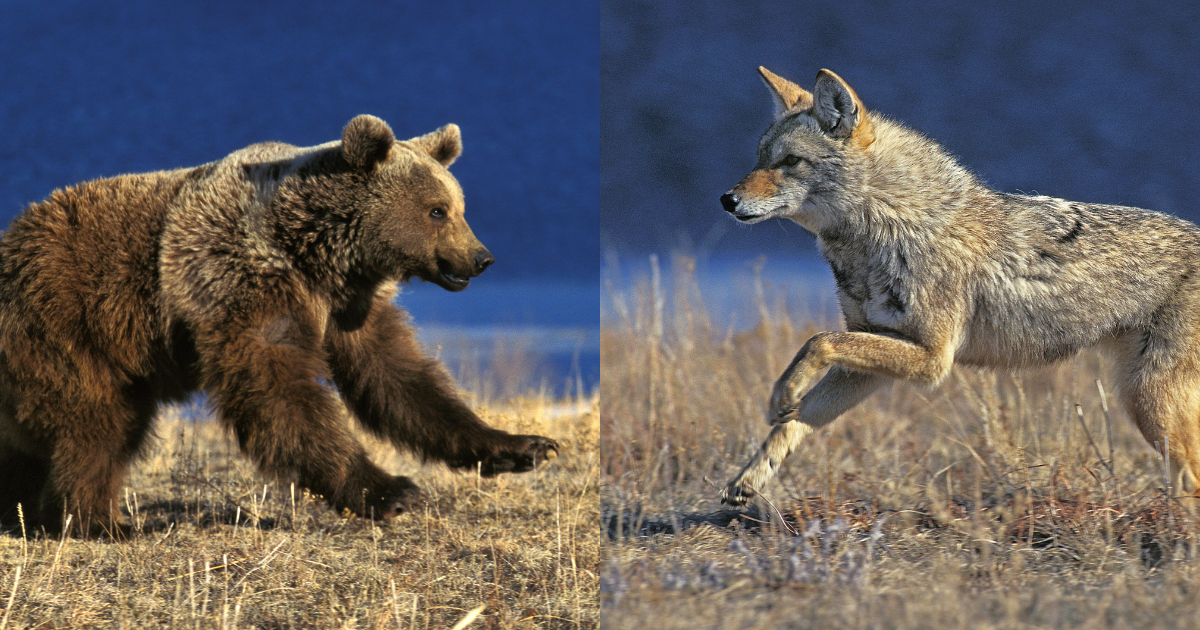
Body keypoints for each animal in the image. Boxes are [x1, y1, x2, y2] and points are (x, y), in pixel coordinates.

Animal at [0, 115, 558, 538]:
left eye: (459, 207)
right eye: (437, 211)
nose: (481, 258)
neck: (317, 254)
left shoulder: (348, 308)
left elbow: (399, 380)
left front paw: (523, 447)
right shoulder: (238, 283)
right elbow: (276, 389)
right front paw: (390, 490)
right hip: (69, 324)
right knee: (99, 424)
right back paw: (97, 521)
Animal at [718, 67, 1200, 505]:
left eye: (789, 162)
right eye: (759, 158)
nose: (727, 199)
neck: (891, 227)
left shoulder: (933, 359)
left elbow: (817, 341)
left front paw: (781, 394)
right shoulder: (869, 359)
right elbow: (795, 422)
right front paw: (749, 478)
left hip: (1149, 404)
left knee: (1190, 483)